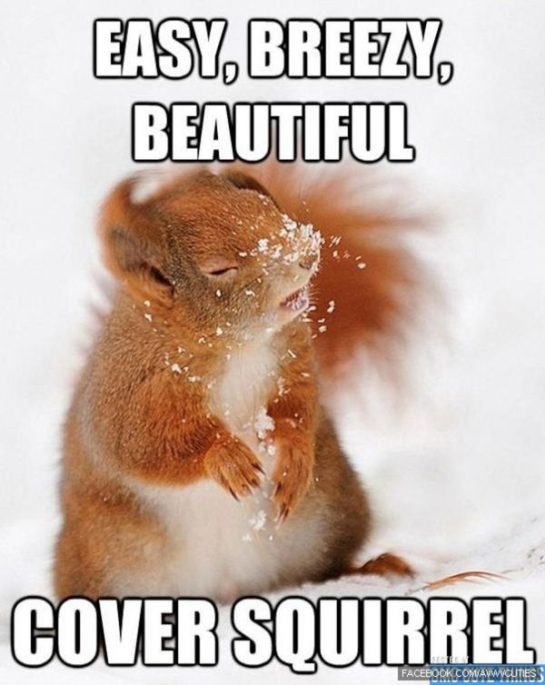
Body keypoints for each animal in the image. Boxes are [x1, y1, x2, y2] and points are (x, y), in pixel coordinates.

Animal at [54, 163, 420, 602]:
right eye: (219, 269)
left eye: (267, 207)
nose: (306, 254)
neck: (236, 346)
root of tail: (228, 588)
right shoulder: (129, 392)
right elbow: (146, 444)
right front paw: (225, 457)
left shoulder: (292, 354)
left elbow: (299, 404)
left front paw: (294, 453)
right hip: (106, 560)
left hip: (332, 512)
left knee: (323, 567)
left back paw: (374, 567)